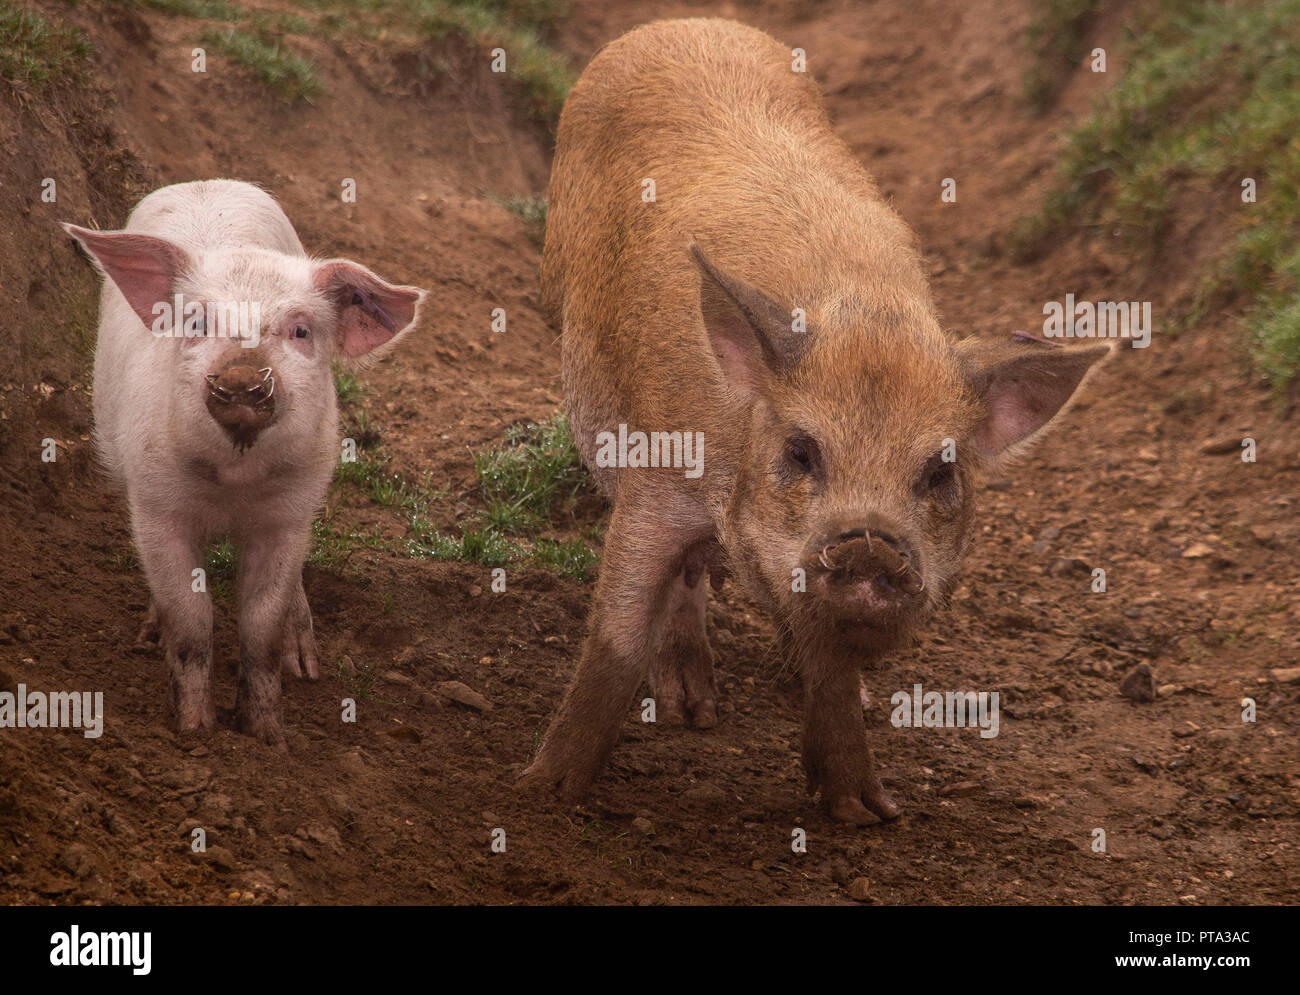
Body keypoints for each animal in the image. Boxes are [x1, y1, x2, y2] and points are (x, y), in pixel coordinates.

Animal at [63, 179, 425, 746]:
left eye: (300, 331)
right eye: (197, 321)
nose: (240, 375)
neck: (234, 484)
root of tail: (206, 182)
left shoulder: (291, 509)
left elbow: (262, 623)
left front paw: (268, 737)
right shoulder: (156, 504)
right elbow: (192, 618)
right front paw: (195, 731)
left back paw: (306, 665)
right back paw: (150, 632)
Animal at [521, 19, 1110, 822]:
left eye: (941, 469)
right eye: (801, 451)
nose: (871, 541)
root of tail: (681, 23)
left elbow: (831, 673)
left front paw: (867, 813)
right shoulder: (655, 475)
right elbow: (615, 635)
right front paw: (546, 791)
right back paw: (692, 709)